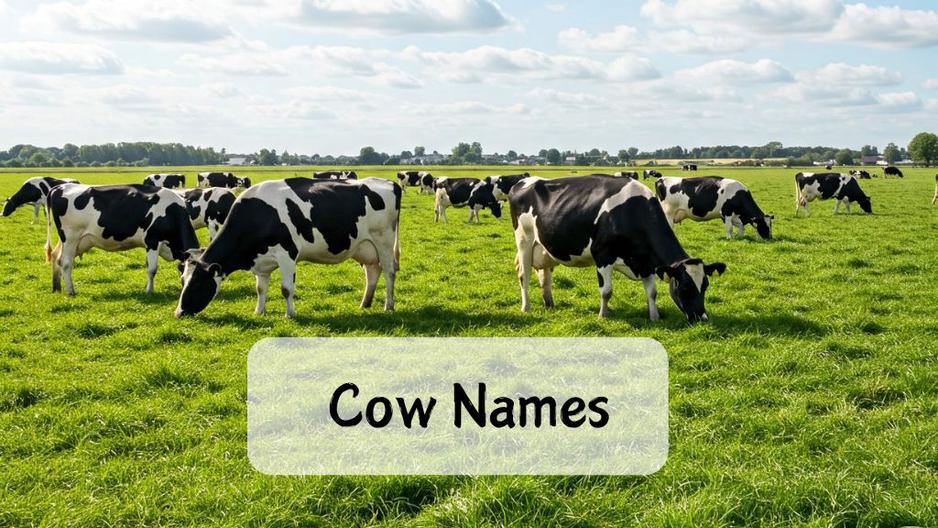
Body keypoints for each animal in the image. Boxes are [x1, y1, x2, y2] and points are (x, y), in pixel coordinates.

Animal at [44, 184, 199, 296]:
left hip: (72, 241)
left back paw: (57, 288)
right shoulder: (152, 240)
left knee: (56, 257)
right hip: (71, 237)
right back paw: (71, 291)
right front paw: (149, 292)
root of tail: (60, 186)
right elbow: (152, 269)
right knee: (66, 262)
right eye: (186, 278)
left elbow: (148, 266)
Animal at [175, 178, 401, 318]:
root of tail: (389, 182)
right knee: (372, 271)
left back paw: (388, 306)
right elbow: (260, 288)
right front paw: (259, 312)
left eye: (197, 283)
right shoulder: (261, 262)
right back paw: (365, 304)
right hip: (364, 247)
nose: (178, 313)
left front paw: (290, 314)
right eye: (183, 280)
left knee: (389, 271)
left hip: (384, 240)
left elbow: (286, 289)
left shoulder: (287, 255)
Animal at [509, 176, 726, 322]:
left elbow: (652, 292)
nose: (702, 318)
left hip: (545, 247)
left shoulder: (646, 262)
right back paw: (526, 307)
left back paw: (549, 305)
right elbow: (606, 291)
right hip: (524, 239)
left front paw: (654, 316)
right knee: (524, 275)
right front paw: (603, 316)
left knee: (544, 275)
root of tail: (523, 181)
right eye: (686, 287)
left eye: (705, 285)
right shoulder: (603, 256)